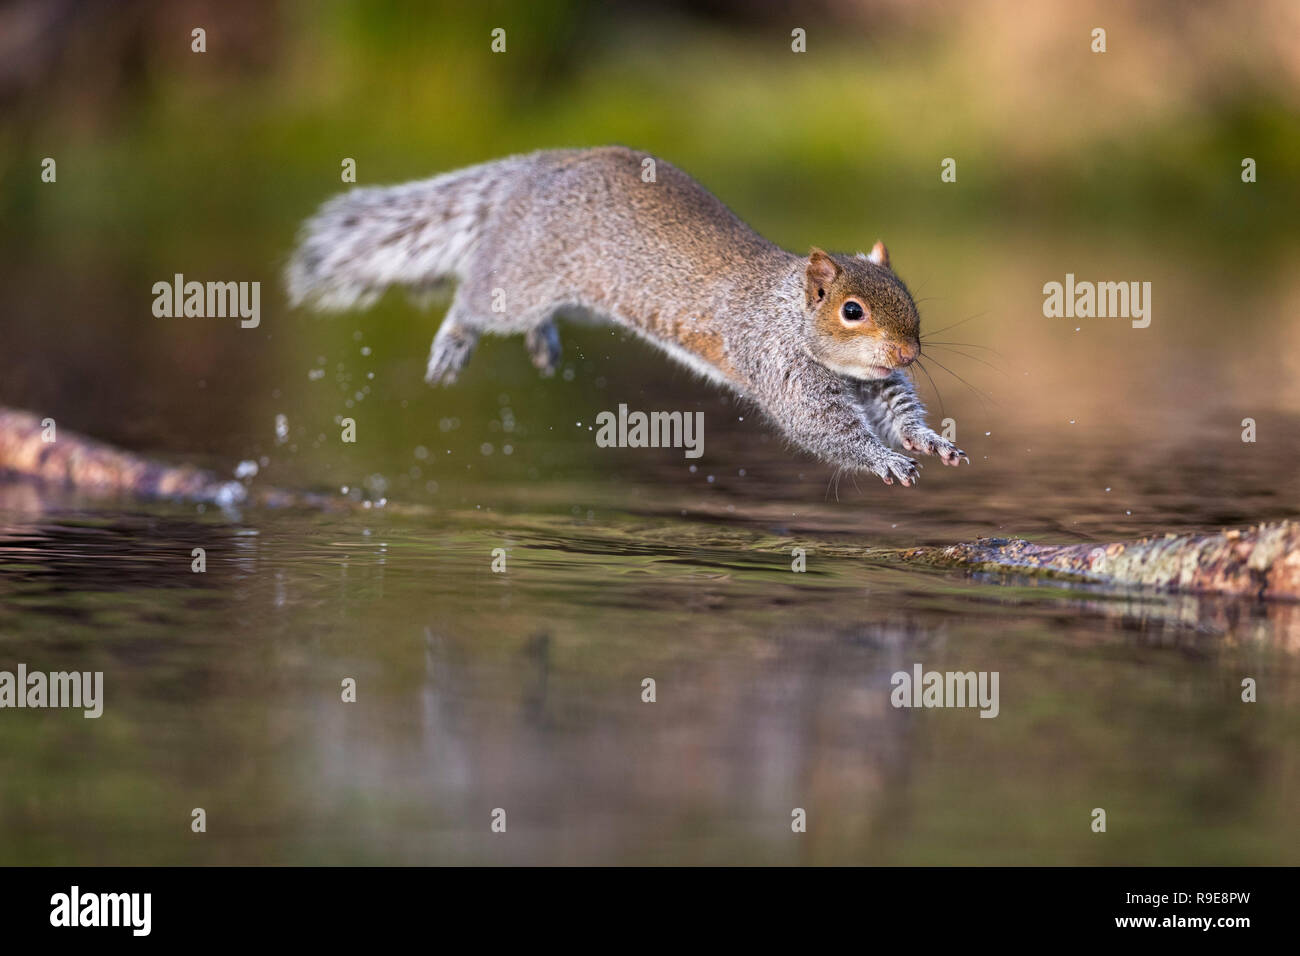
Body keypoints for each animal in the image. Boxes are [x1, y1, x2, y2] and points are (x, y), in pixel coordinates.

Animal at [286, 146, 967, 485]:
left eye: (906, 296)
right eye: (852, 311)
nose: (909, 353)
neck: (786, 313)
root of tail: (538, 168)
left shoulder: (876, 383)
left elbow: (898, 411)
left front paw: (931, 442)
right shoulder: (781, 368)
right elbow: (824, 429)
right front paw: (884, 461)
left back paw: (543, 341)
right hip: (522, 277)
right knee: (476, 298)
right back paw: (455, 339)